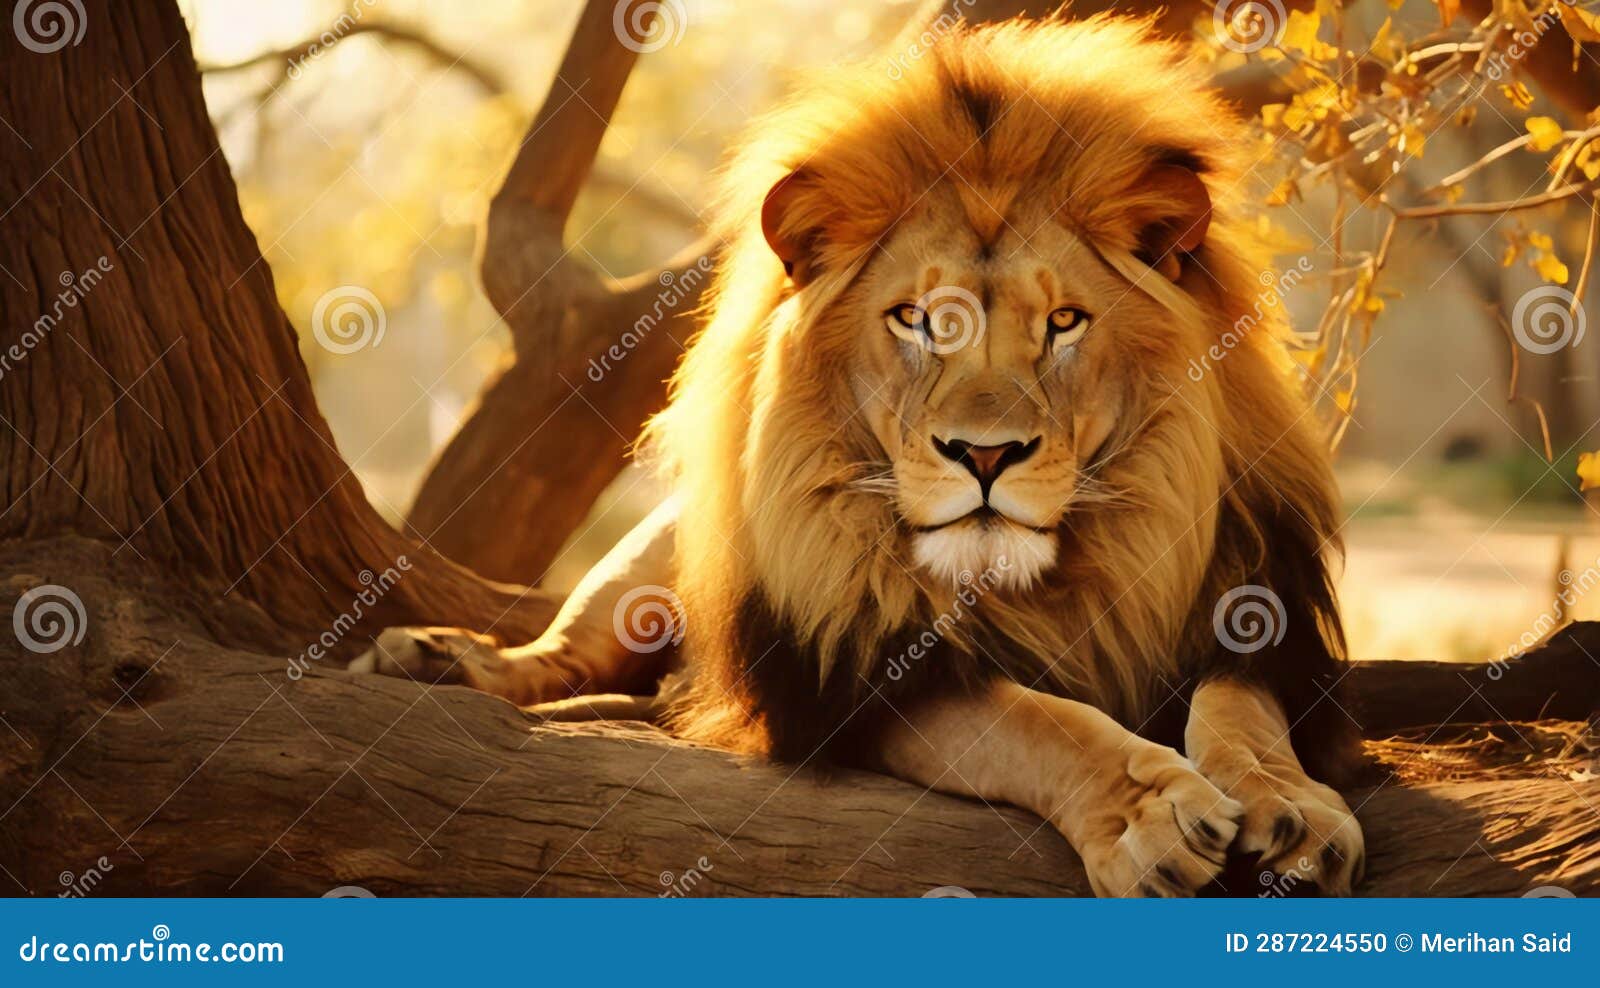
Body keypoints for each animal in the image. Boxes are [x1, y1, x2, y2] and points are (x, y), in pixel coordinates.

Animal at [359, 14, 1366, 897]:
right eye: (915, 319)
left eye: (1064, 322)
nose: (985, 456)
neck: (1044, 583)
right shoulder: (858, 679)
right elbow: (1039, 723)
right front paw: (1148, 817)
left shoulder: (1252, 607)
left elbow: (1241, 711)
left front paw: (1294, 810)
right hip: (650, 568)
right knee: (564, 655)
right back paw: (439, 656)